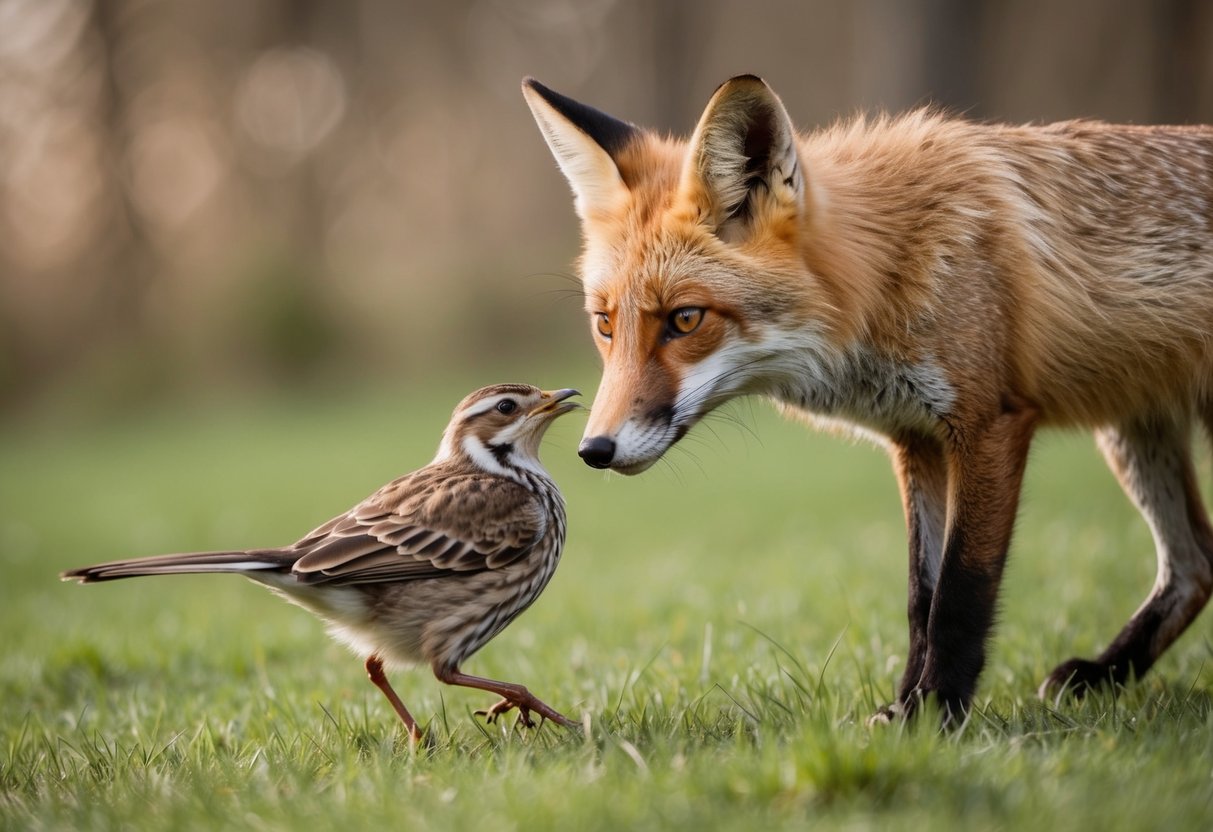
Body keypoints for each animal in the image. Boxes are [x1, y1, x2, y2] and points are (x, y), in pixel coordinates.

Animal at [521, 74, 1213, 722]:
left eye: (685, 320)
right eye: (605, 324)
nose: (594, 449)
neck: (888, 271)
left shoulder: (989, 424)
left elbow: (961, 592)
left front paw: (937, 712)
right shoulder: (918, 440)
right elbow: (920, 598)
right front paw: (908, 706)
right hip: (1133, 431)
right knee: (1195, 564)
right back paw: (1104, 673)